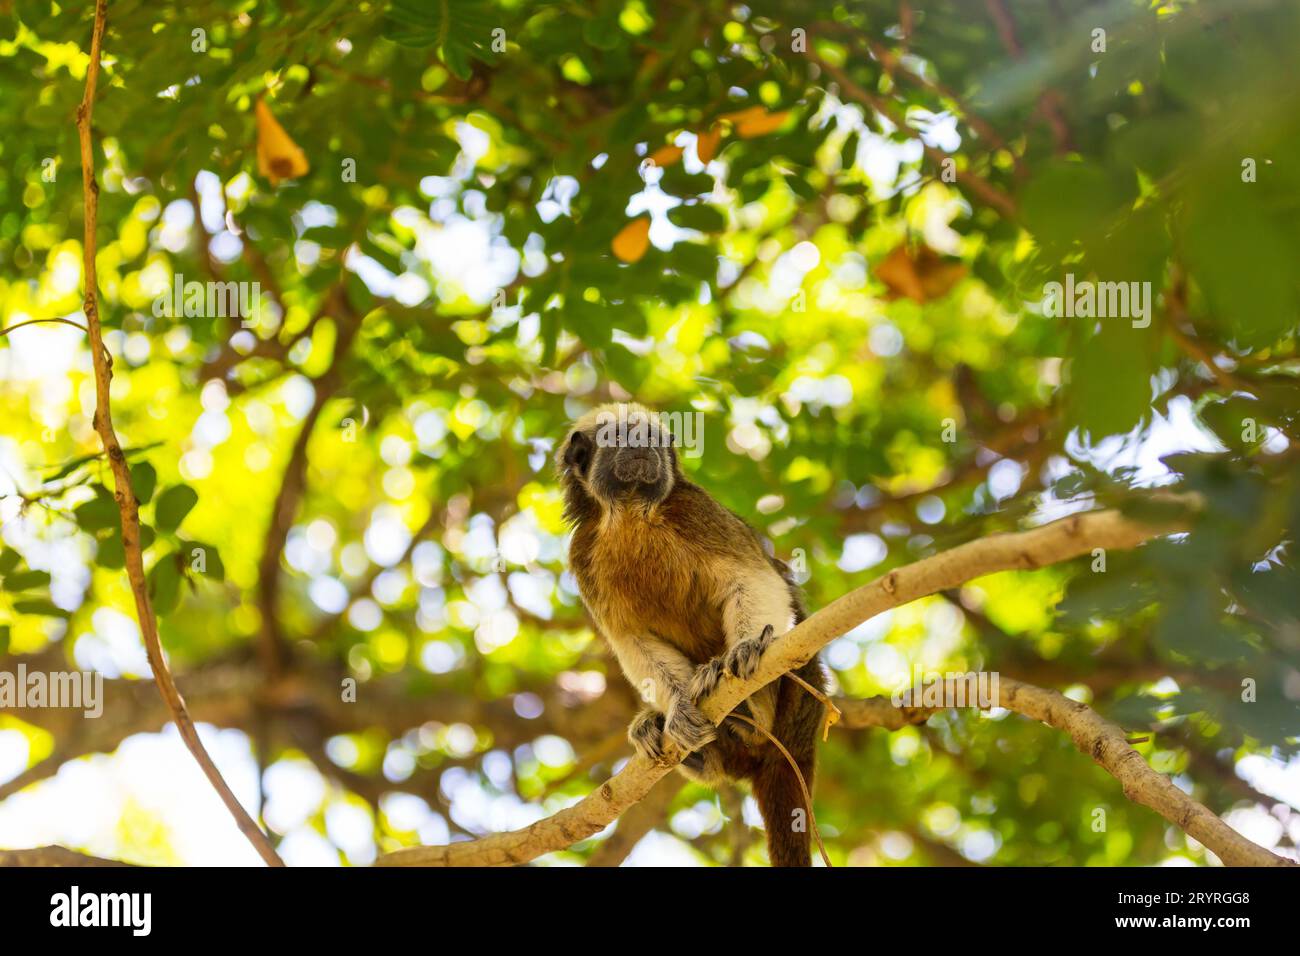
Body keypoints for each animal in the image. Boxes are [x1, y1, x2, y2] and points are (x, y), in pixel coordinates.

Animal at [556, 402, 829, 867]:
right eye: (621, 436)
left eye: (649, 436)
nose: (642, 445)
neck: (629, 511)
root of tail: (799, 742)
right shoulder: (583, 553)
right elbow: (630, 640)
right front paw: (678, 710)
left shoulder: (696, 509)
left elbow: (753, 579)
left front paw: (747, 647)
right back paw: (686, 742)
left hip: (803, 697)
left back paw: (752, 711)